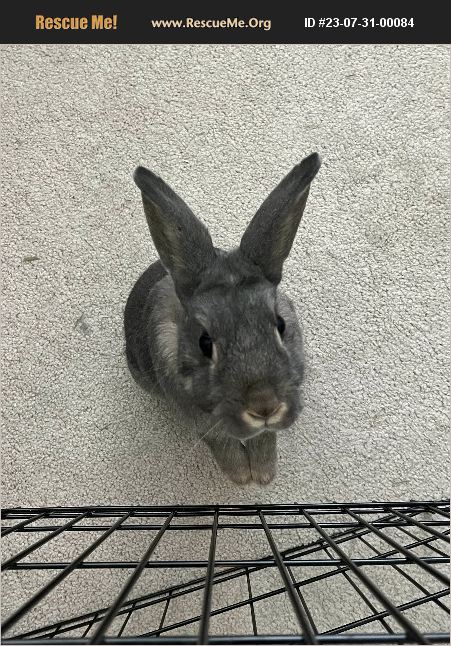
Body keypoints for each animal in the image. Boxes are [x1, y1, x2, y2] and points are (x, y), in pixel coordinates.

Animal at [124, 153, 321, 485]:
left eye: (281, 324)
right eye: (205, 343)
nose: (264, 405)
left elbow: (264, 436)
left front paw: (263, 473)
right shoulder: (202, 422)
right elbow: (222, 443)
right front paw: (242, 477)